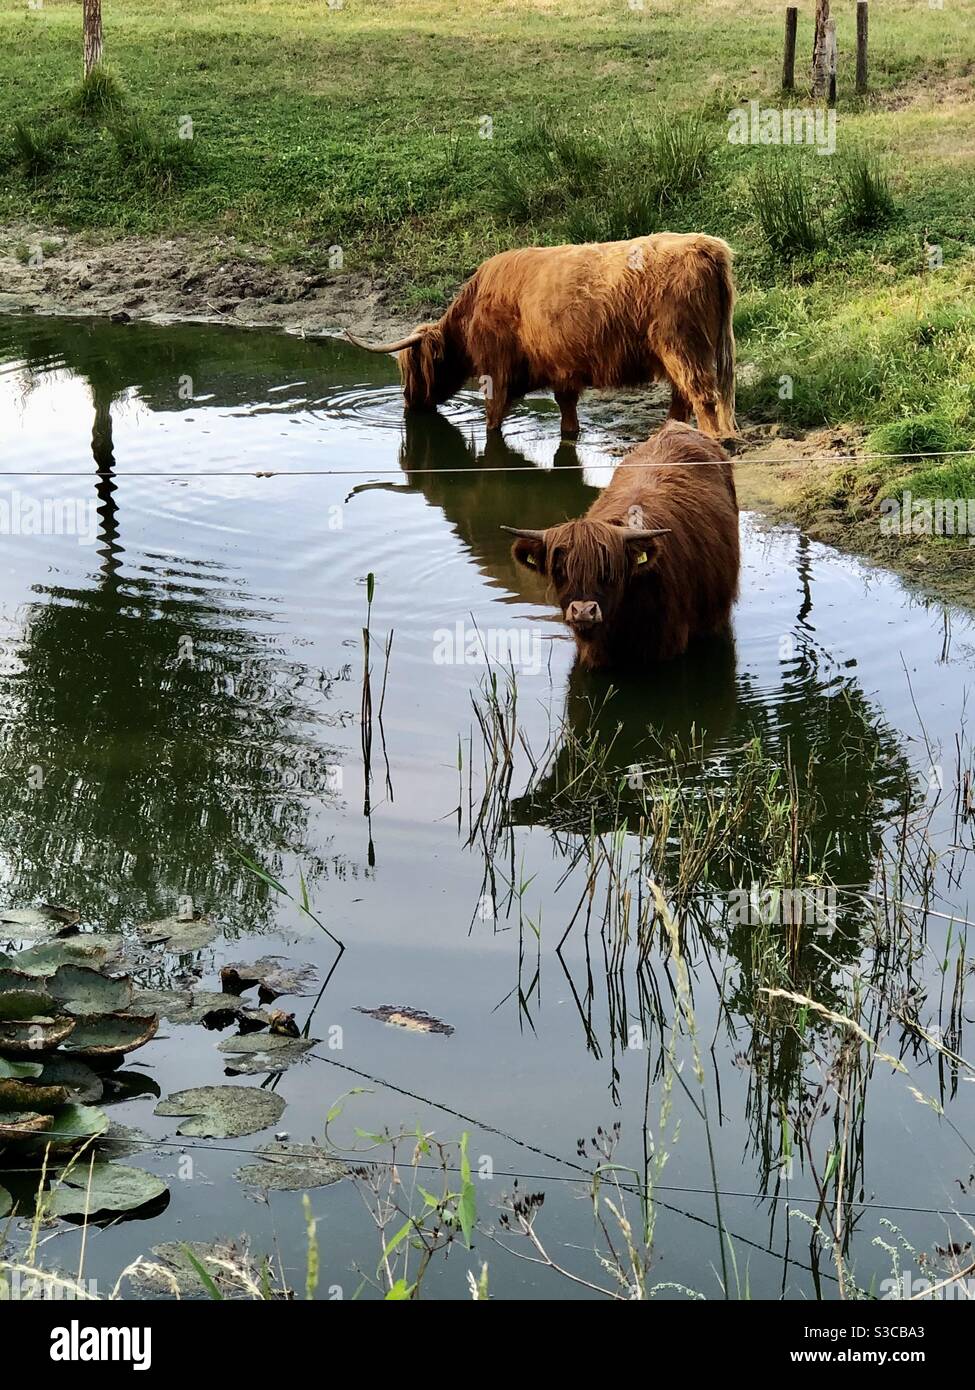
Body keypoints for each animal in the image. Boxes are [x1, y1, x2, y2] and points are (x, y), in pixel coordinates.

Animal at [346, 233, 737, 441]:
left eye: (412, 368)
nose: (408, 403)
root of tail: (705, 245)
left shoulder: (496, 373)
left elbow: (493, 420)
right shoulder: (563, 371)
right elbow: (567, 414)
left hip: (682, 345)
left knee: (703, 397)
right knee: (682, 397)